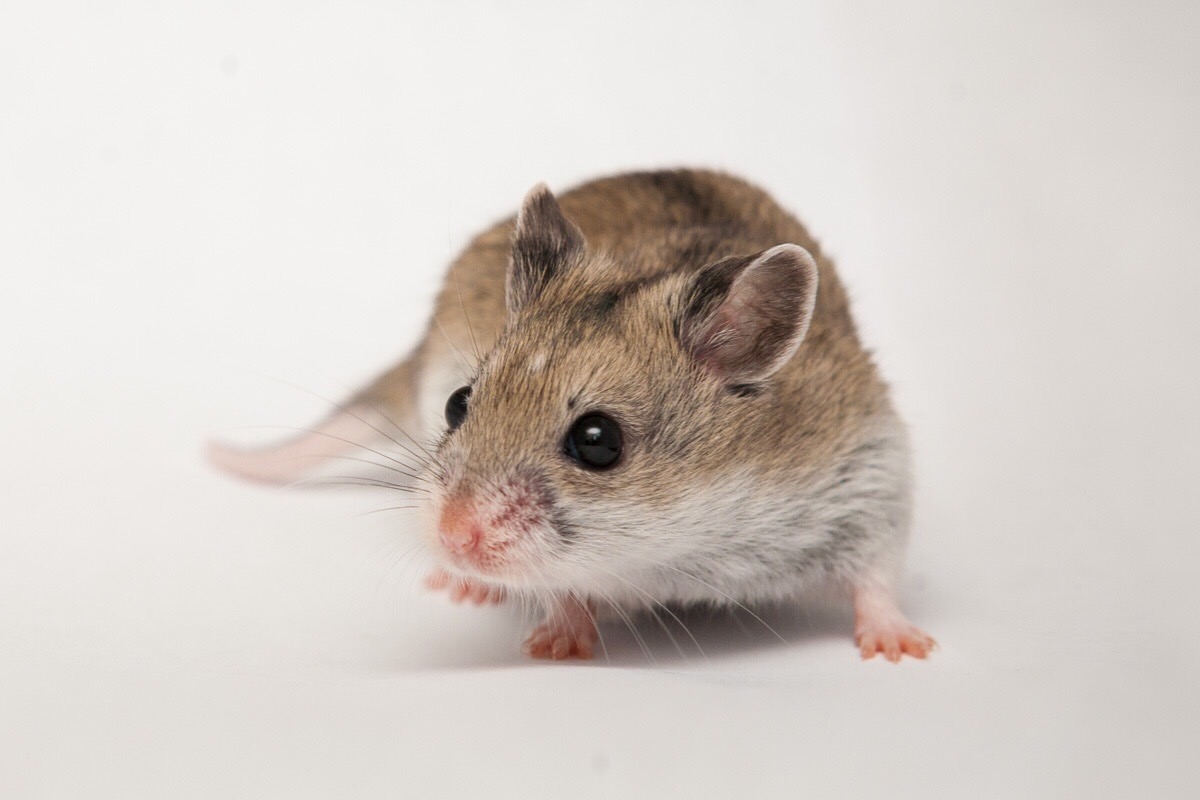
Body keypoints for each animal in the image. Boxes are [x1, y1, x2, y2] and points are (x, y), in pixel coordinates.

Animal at [209, 169, 936, 662]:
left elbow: (876, 578)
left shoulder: (870, 476)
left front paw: (905, 649)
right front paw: (556, 645)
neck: (687, 537)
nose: (449, 537)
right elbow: (561, 588)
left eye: (598, 441)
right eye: (458, 404)